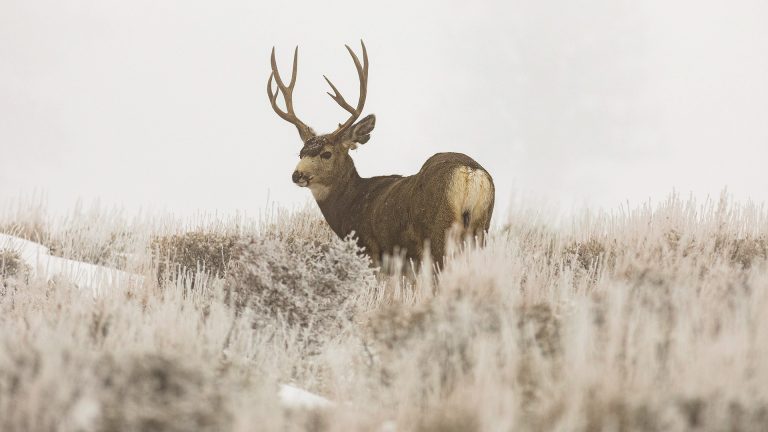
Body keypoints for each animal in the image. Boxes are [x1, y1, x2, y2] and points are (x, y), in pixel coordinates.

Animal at [266, 40, 494, 267]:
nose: (297, 175)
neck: (350, 203)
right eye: (300, 153)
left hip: (440, 231)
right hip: (480, 229)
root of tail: (470, 172)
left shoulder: (369, 248)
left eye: (326, 153)